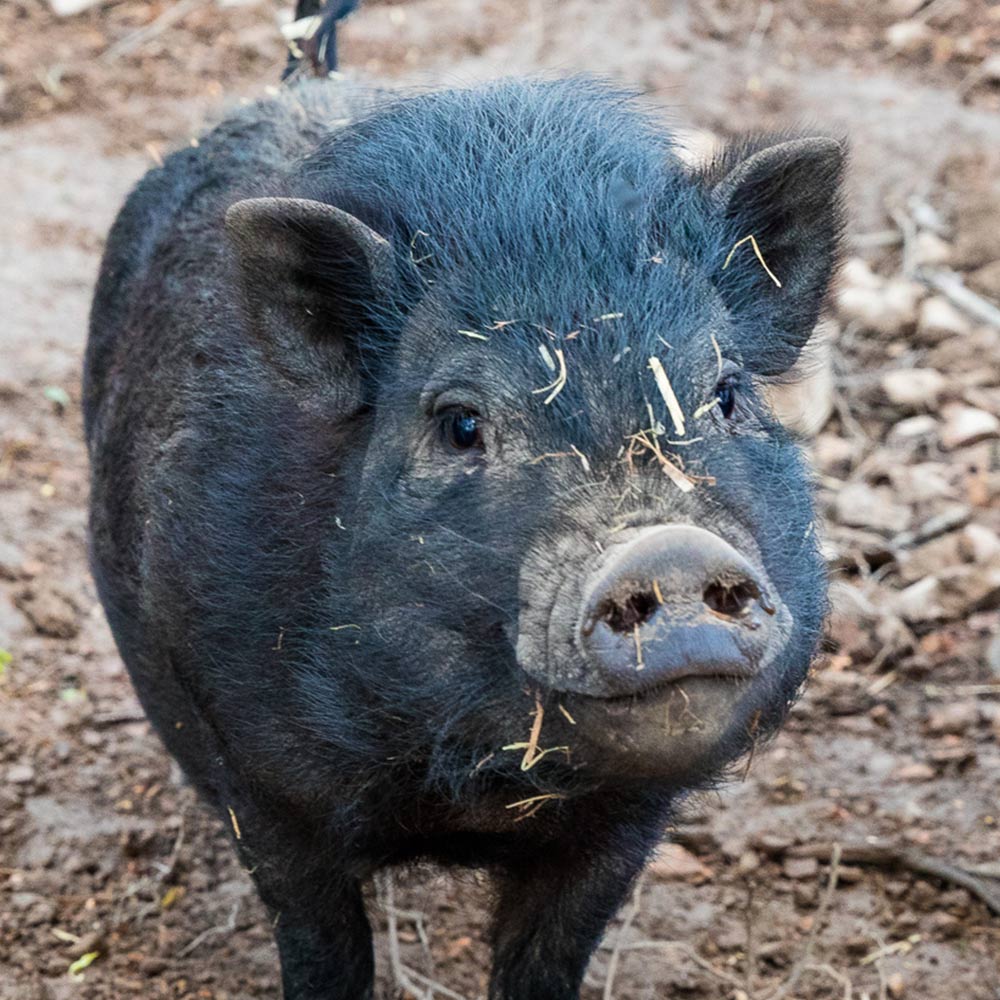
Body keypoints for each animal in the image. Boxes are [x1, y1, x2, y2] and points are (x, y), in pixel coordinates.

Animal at [84, 64, 843, 1000]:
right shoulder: (265, 793)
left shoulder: (621, 829)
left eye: (727, 393)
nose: (668, 549)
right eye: (461, 425)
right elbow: (322, 940)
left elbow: (549, 957)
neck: (473, 789)